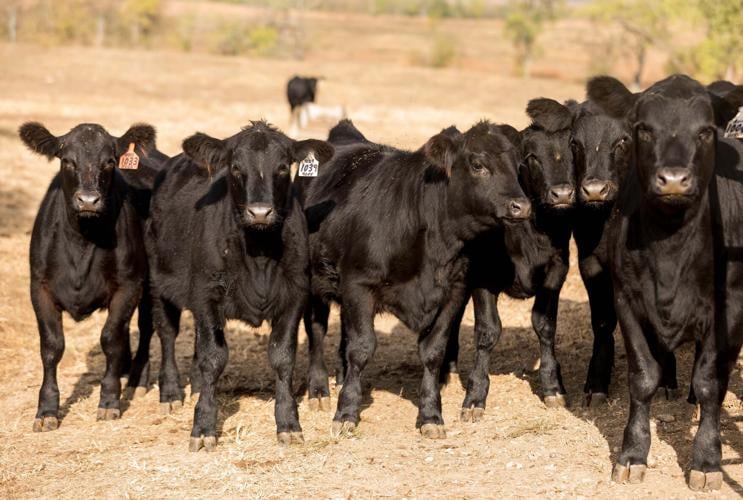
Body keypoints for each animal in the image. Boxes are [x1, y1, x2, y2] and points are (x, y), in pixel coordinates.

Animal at [20, 121, 165, 432]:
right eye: (67, 160)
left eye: (109, 161)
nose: (88, 200)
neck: (82, 241)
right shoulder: (39, 288)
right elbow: (52, 346)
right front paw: (46, 410)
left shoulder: (128, 285)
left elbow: (110, 339)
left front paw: (109, 401)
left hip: (150, 284)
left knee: (145, 327)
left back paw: (136, 378)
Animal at [146, 121, 333, 451]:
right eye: (235, 167)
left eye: (283, 167)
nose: (260, 212)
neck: (258, 250)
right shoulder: (207, 294)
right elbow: (213, 358)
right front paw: (203, 426)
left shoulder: (294, 296)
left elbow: (283, 357)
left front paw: (289, 423)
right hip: (160, 282)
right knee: (167, 334)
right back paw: (171, 393)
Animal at [299, 119, 531, 438]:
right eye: (478, 164)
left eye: (518, 165)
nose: (521, 206)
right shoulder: (359, 285)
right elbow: (361, 348)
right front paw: (346, 413)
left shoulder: (453, 291)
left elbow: (433, 352)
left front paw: (431, 415)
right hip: (314, 282)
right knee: (317, 332)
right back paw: (319, 390)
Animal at [587, 74, 743, 491]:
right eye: (643, 129)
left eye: (705, 131)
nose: (673, 180)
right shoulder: (626, 298)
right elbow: (643, 376)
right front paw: (632, 454)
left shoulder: (730, 306)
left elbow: (711, 382)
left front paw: (706, 460)